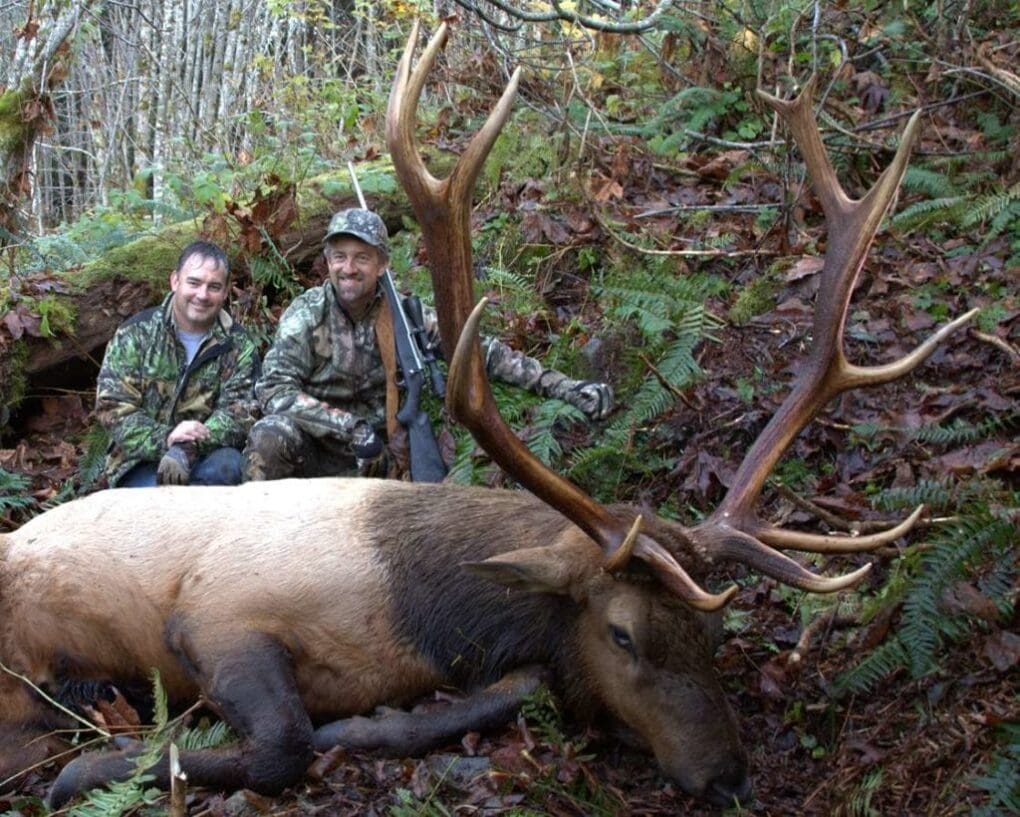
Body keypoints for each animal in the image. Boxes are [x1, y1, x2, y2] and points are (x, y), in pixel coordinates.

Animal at [0, 22, 975, 810]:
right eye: (623, 630)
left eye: (712, 630)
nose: (728, 775)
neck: (419, 608)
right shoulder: (216, 614)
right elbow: (282, 743)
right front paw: (94, 769)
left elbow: (503, 692)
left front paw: (369, 726)